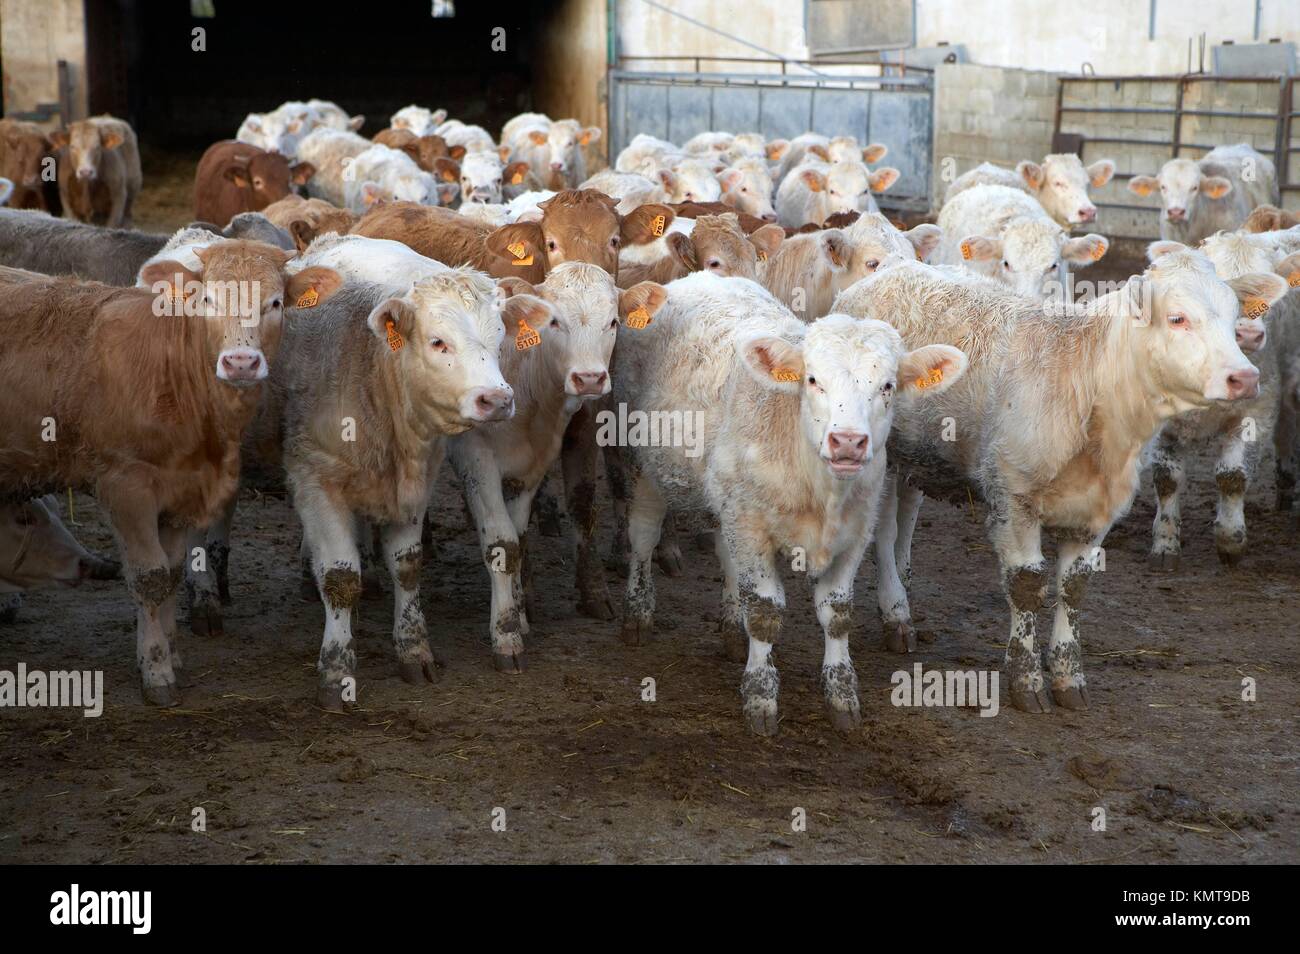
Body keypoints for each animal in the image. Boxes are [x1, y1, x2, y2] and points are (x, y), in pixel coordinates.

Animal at [0, 245, 343, 704]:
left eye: (274, 303)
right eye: (208, 299)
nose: (241, 363)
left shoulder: (183, 490)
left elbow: (175, 571)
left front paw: (171, 651)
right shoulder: (126, 486)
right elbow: (151, 576)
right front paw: (157, 669)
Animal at [611, 271, 965, 734]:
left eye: (887, 386)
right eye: (812, 379)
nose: (847, 441)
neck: (819, 489)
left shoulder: (854, 532)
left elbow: (837, 612)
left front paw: (841, 692)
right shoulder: (751, 524)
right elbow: (766, 613)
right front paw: (760, 696)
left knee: (725, 552)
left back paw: (731, 627)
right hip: (644, 465)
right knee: (643, 535)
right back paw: (638, 612)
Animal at [831, 249, 1285, 712]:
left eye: (1234, 316)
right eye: (1177, 318)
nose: (1245, 378)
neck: (1091, 389)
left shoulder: (1098, 512)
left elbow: (1074, 588)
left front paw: (1069, 677)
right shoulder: (1013, 498)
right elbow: (1027, 586)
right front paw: (1027, 680)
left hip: (918, 455)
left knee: (905, 520)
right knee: (884, 533)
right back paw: (896, 614)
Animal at [1146, 234, 1300, 566]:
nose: (1248, 333)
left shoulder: (1258, 411)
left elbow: (1233, 476)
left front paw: (1231, 541)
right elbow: (1166, 478)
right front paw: (1165, 543)